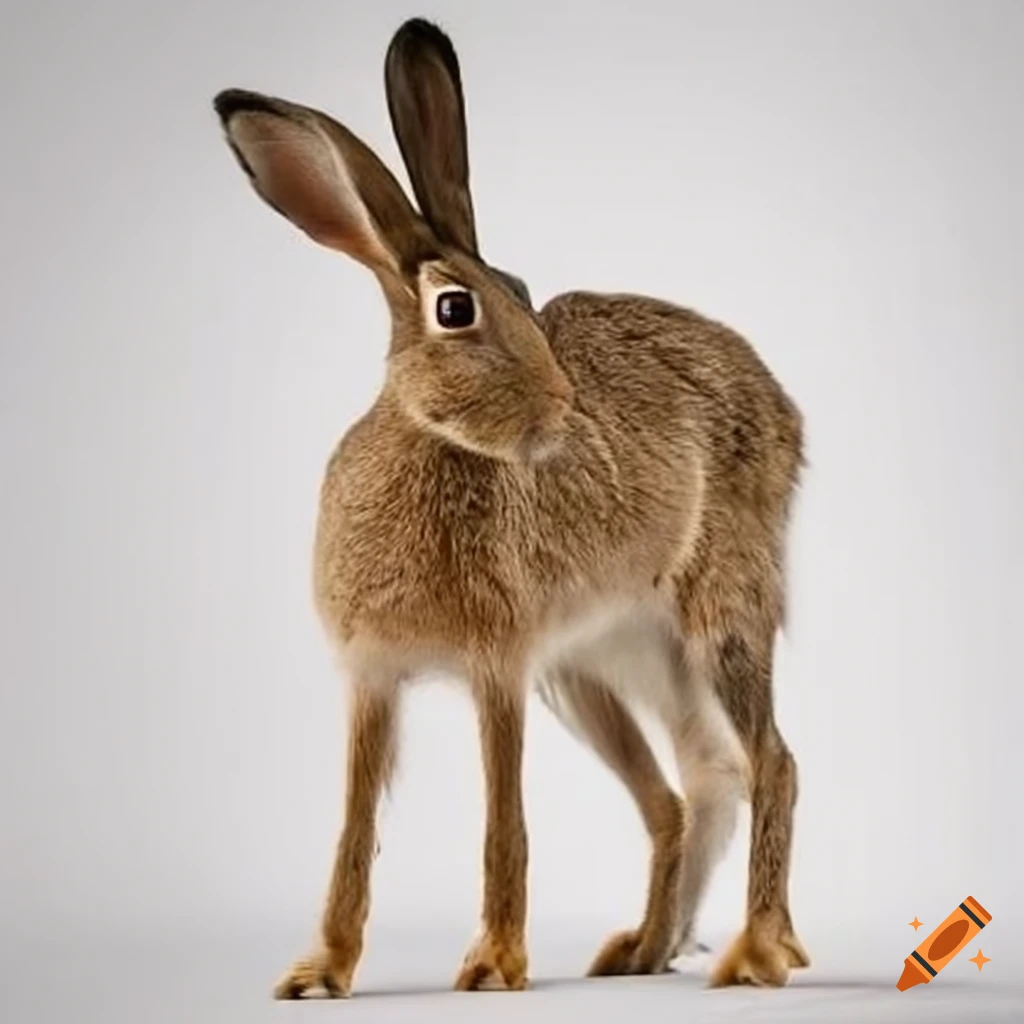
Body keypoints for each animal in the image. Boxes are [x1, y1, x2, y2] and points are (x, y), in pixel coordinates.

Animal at [213, 15, 809, 999]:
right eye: (458, 308)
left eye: (526, 293)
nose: (566, 409)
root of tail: (780, 402)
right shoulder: (374, 679)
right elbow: (352, 834)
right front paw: (318, 974)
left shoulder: (500, 671)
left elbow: (504, 822)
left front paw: (494, 965)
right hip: (601, 665)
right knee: (687, 788)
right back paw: (644, 949)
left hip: (717, 617)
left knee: (771, 763)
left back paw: (755, 954)